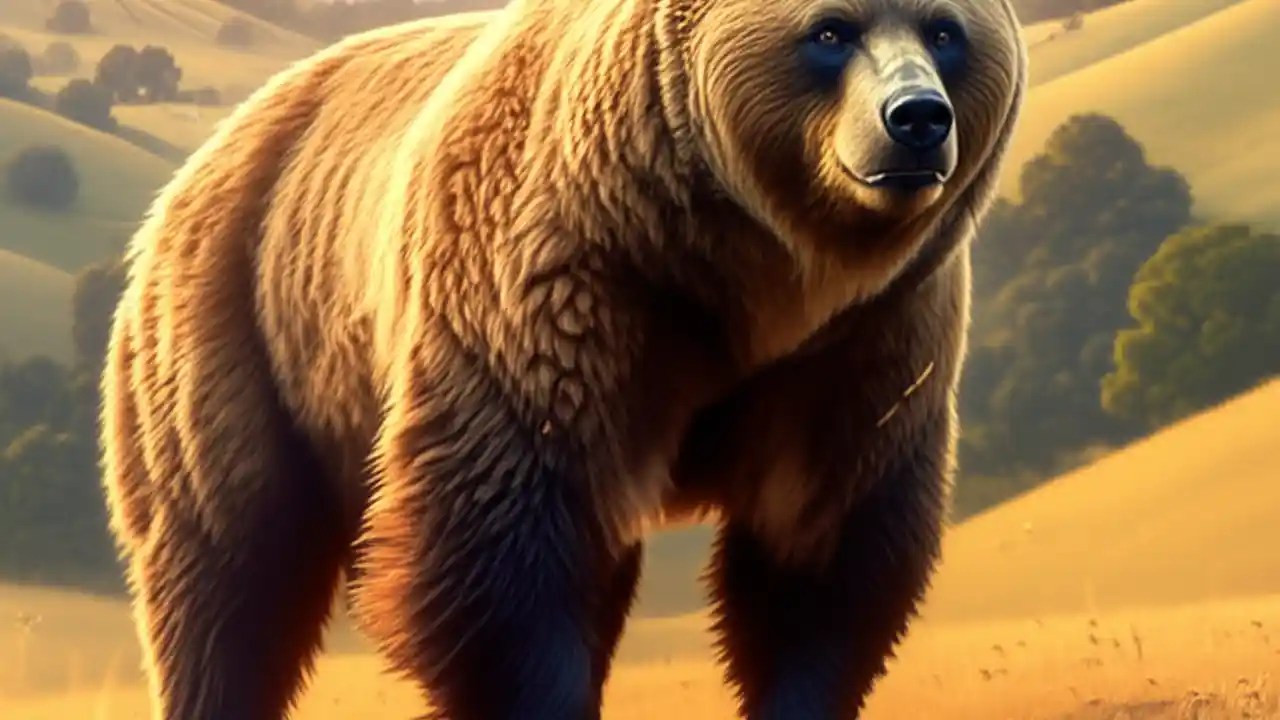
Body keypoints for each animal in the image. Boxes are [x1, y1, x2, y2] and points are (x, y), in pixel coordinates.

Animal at [99, 0, 1026, 716]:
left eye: (946, 30)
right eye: (830, 31)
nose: (916, 118)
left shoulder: (864, 341)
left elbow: (823, 548)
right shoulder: (553, 292)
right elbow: (503, 548)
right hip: (235, 330)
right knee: (232, 581)